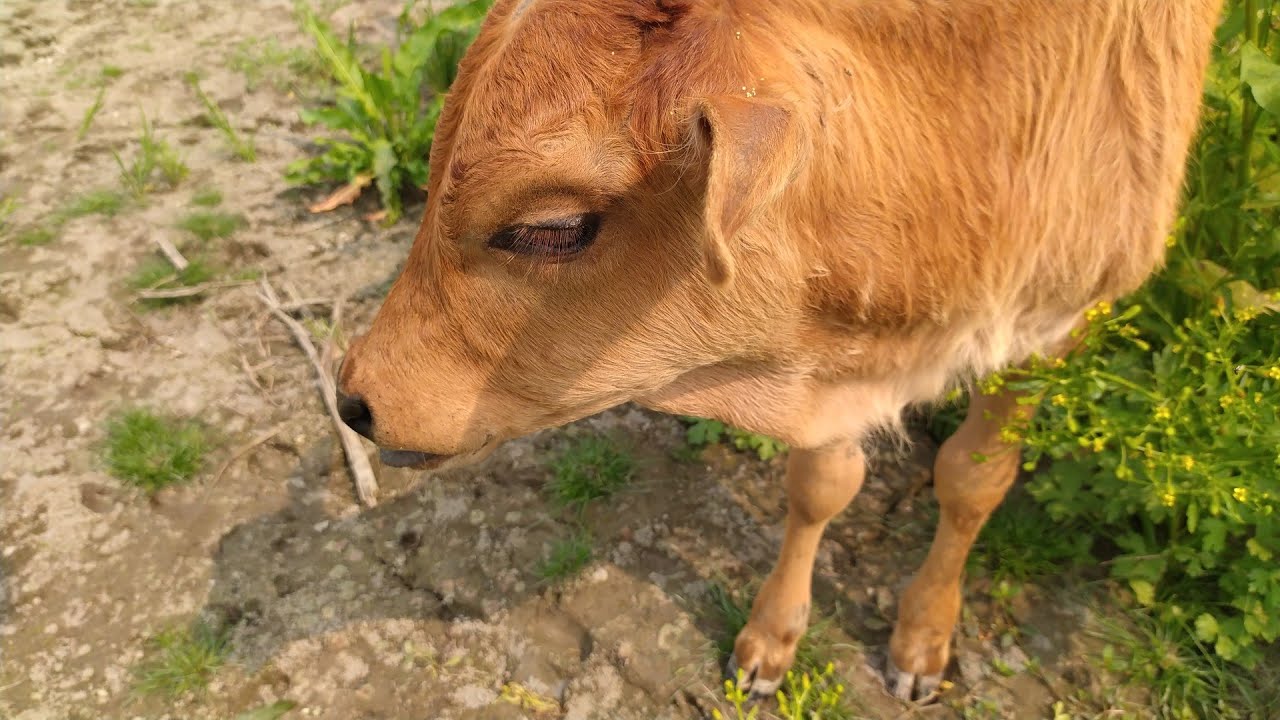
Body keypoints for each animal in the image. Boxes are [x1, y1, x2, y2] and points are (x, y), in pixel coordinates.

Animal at [336, 0, 1224, 701]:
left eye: (550, 228)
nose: (351, 396)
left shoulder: (1063, 306)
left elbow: (974, 478)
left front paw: (922, 639)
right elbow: (821, 483)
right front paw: (771, 639)